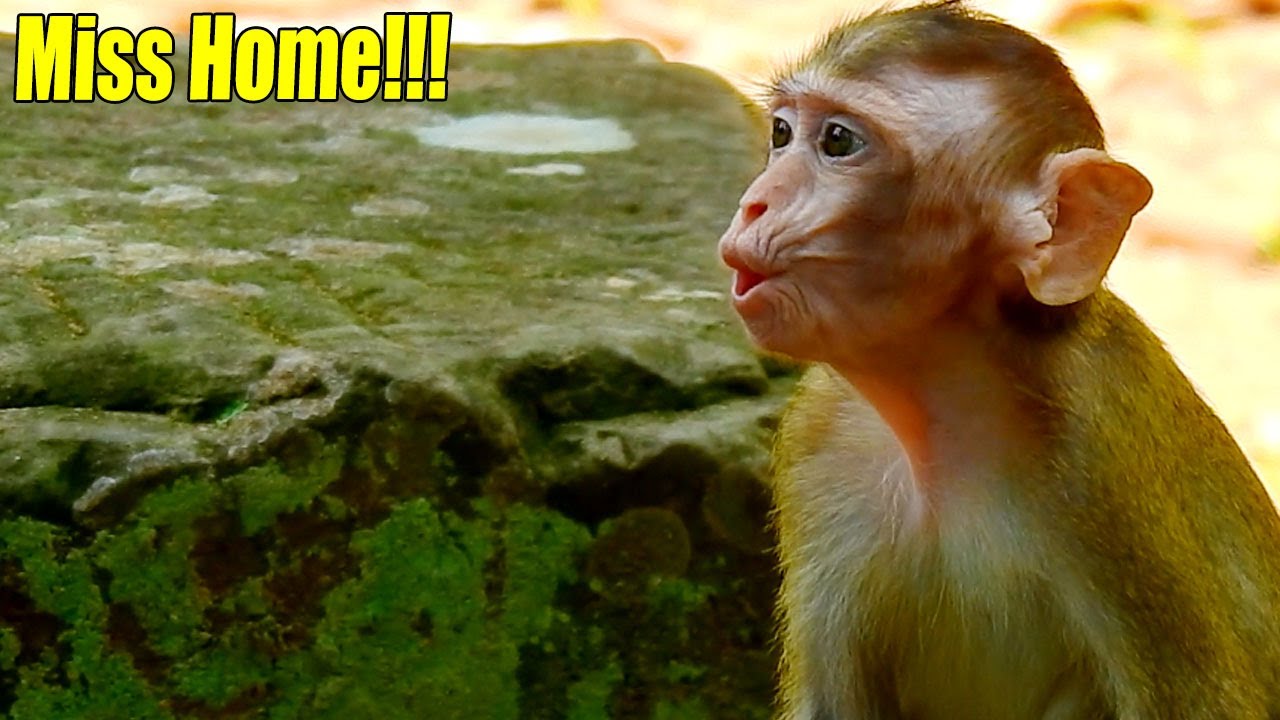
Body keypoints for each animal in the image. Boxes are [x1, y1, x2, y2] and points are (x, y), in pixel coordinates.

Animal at [716, 3, 1280, 719]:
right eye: (782, 133)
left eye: (839, 142)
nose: (753, 201)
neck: (942, 417)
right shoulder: (817, 440)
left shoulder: (1102, 461)